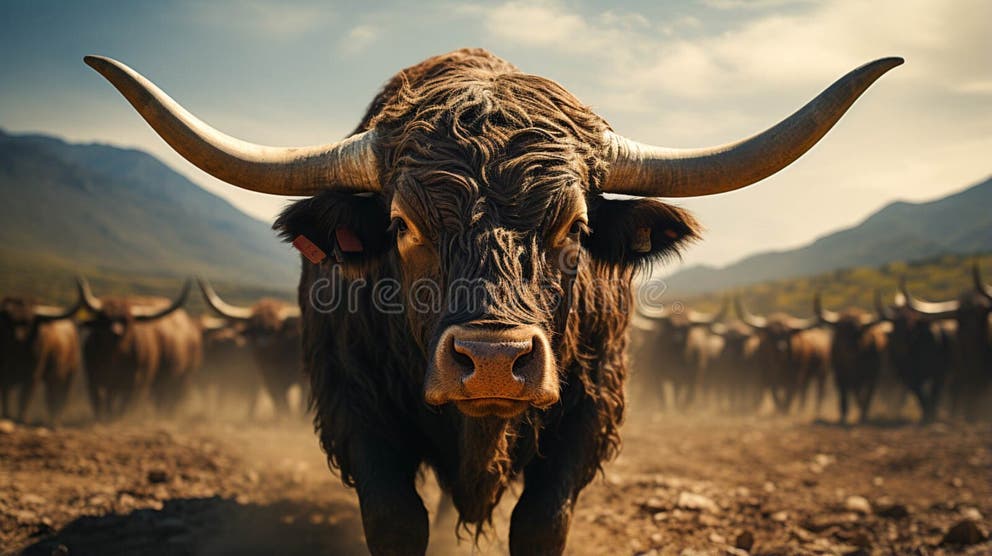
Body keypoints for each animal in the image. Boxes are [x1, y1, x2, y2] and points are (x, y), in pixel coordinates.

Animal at [0, 288, 82, 425]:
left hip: (69, 374)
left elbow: (24, 397)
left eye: (28, 322)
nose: (17, 337)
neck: (17, 353)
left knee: (59, 398)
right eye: (7, 320)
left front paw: (22, 419)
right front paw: (7, 416)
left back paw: (55, 422)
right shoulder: (6, 374)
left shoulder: (33, 374)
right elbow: (6, 395)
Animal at [78, 278, 201, 419]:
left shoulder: (138, 383)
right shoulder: (93, 380)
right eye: (103, 318)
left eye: (127, 321)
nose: (115, 333)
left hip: (183, 379)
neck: (114, 358)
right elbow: (100, 404)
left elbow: (125, 407)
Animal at [814, 292, 889, 424]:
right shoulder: (840, 376)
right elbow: (845, 397)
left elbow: (865, 397)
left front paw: (863, 415)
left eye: (858, 331)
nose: (849, 347)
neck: (853, 363)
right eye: (841, 329)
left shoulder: (871, 377)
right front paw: (843, 418)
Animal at [875, 288, 953, 423]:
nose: (899, 344)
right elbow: (921, 395)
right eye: (895, 325)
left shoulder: (936, 374)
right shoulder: (911, 377)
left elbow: (930, 394)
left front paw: (930, 416)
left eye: (911, 323)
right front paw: (927, 417)